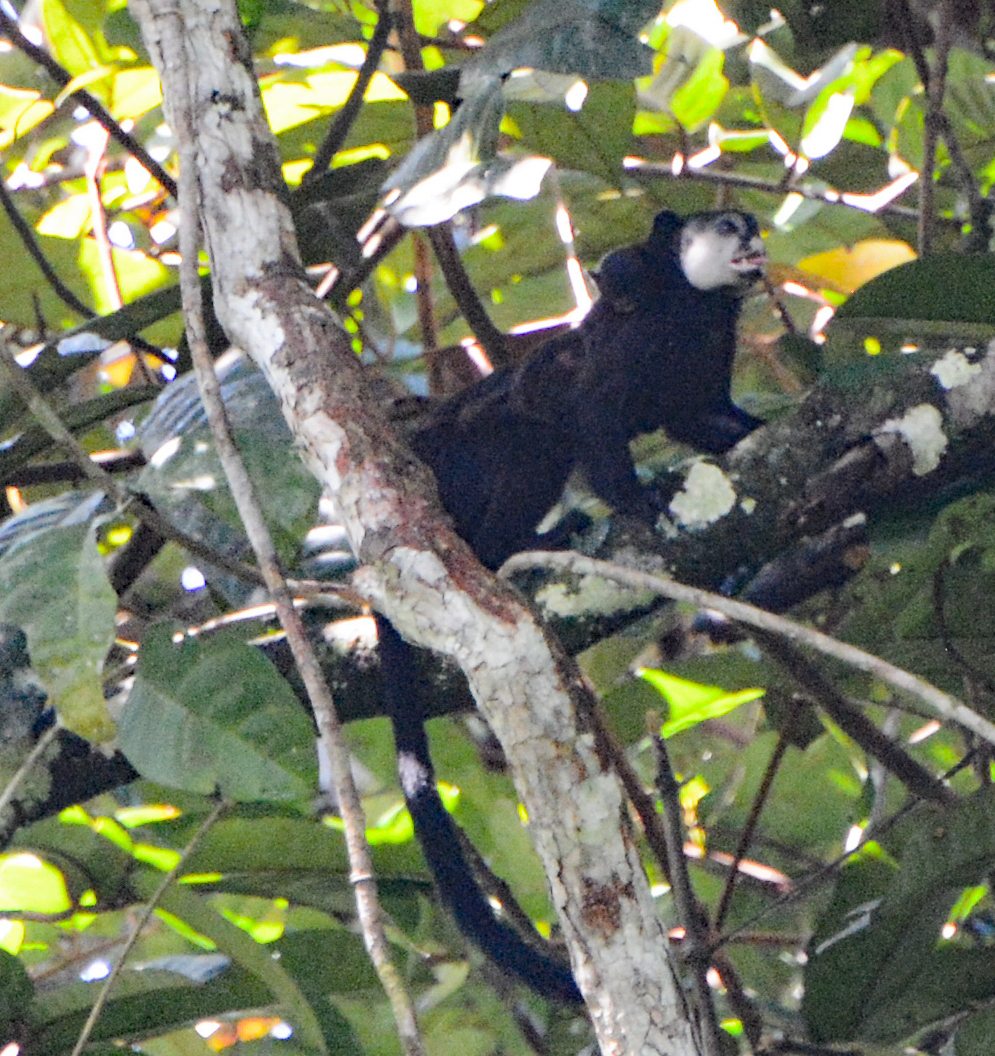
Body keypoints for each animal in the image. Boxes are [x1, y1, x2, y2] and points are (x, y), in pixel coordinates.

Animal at [380, 210, 767, 1002]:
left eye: (747, 226)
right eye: (726, 225)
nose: (751, 239)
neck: (691, 310)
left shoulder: (709, 353)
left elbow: (698, 417)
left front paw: (752, 430)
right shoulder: (627, 333)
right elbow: (591, 408)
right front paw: (633, 500)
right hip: (467, 466)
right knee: (531, 434)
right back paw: (511, 546)